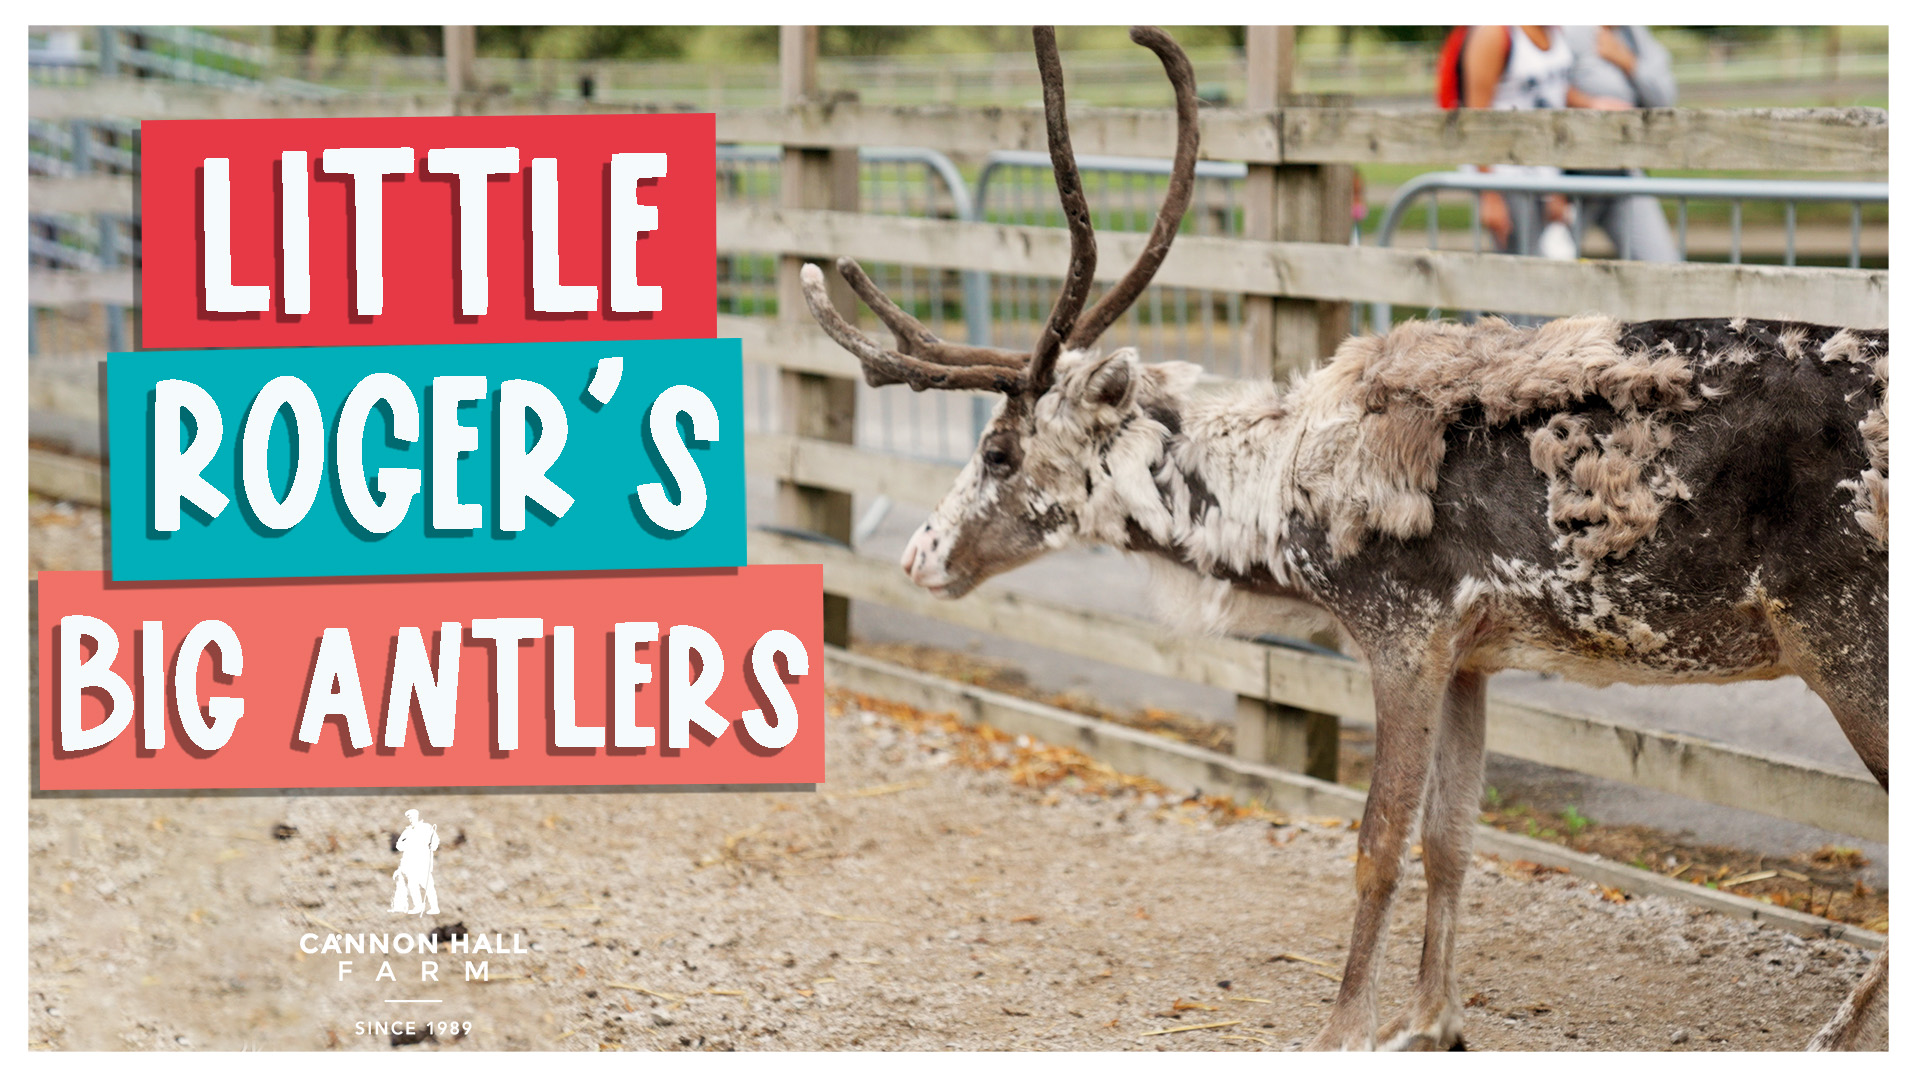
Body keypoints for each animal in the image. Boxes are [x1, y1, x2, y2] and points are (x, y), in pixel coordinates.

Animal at [796, 26, 1890, 1052]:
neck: (1282, 499)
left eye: (996, 448)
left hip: (1846, 640)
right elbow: (1452, 840)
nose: (918, 555)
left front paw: (1341, 1030)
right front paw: (1432, 1022)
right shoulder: (1473, 656)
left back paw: (1833, 1033)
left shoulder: (1402, 631)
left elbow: (1377, 844)